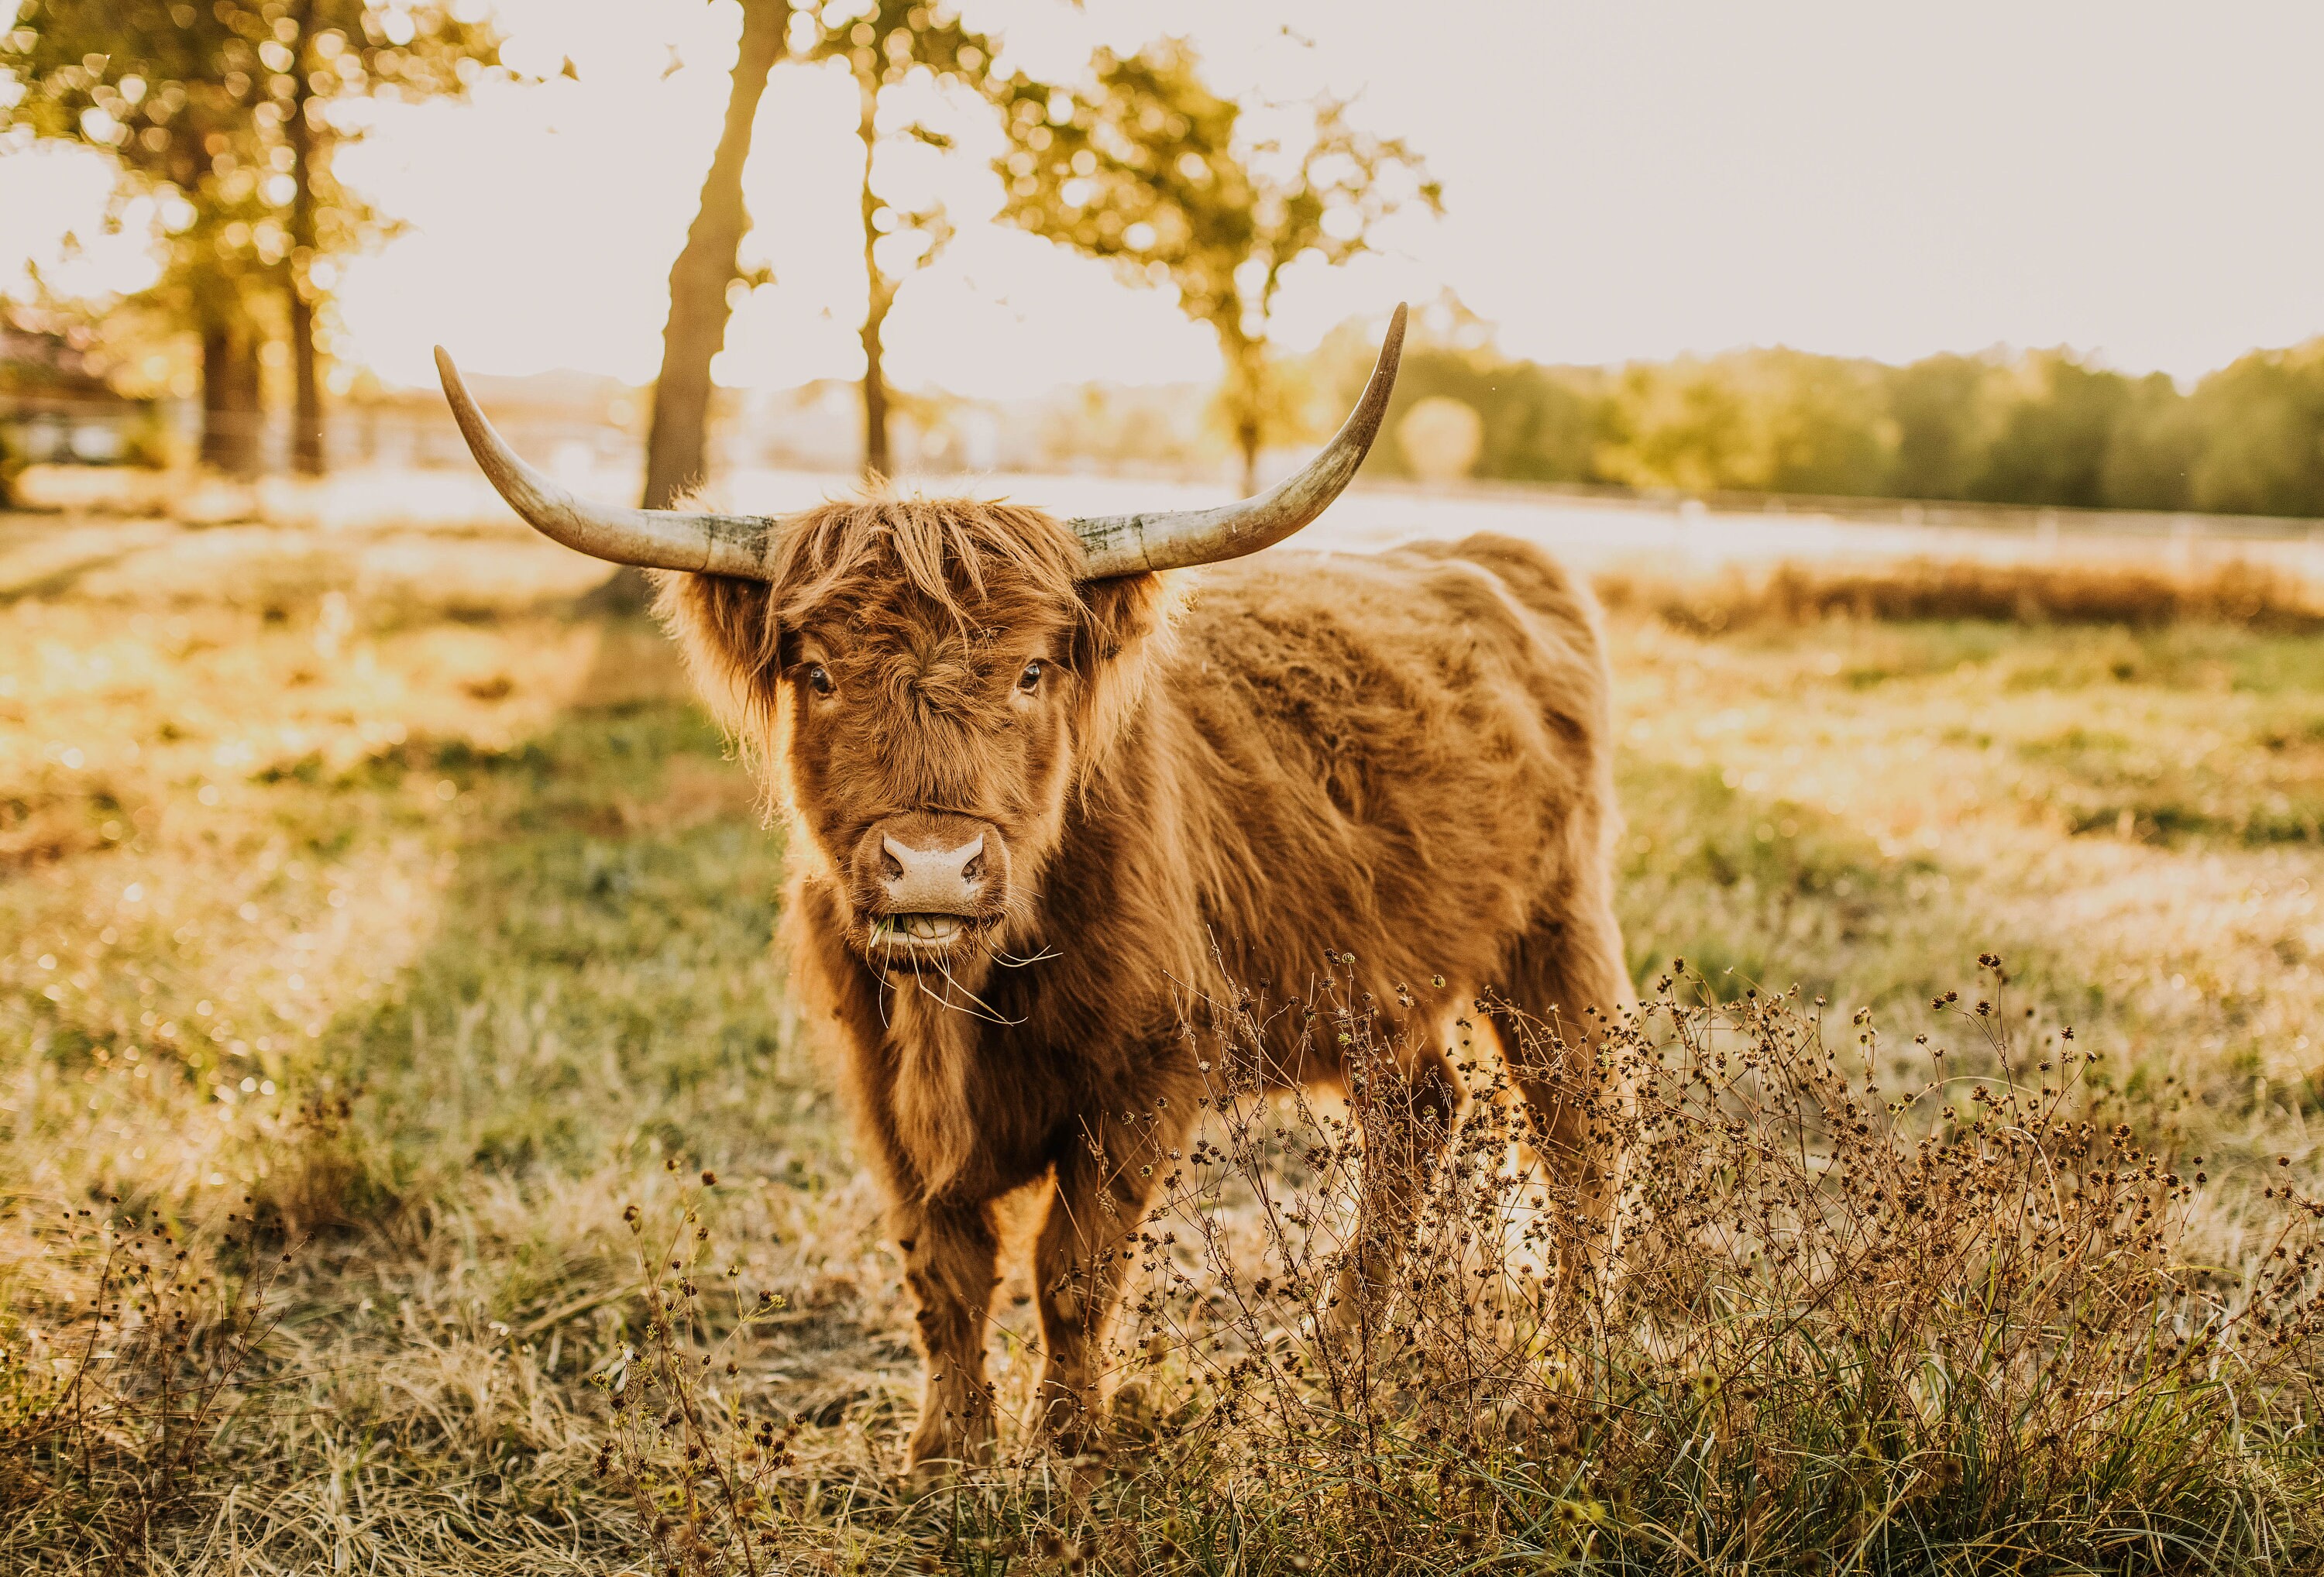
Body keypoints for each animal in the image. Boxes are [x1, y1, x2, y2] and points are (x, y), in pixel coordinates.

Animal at [434, 305, 1633, 1475]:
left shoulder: (1150, 1066)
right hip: (1369, 983)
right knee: (1420, 1112)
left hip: (1555, 926)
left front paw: (1067, 1448)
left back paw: (1567, 1358)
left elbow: (1074, 1265)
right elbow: (946, 1270)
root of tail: (1484, 554)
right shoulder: (879, 1082)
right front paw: (947, 1453)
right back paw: (1335, 1352)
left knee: (1574, 1124)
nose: (930, 864)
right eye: (818, 673)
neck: (964, 1000)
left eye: (1029, 670)